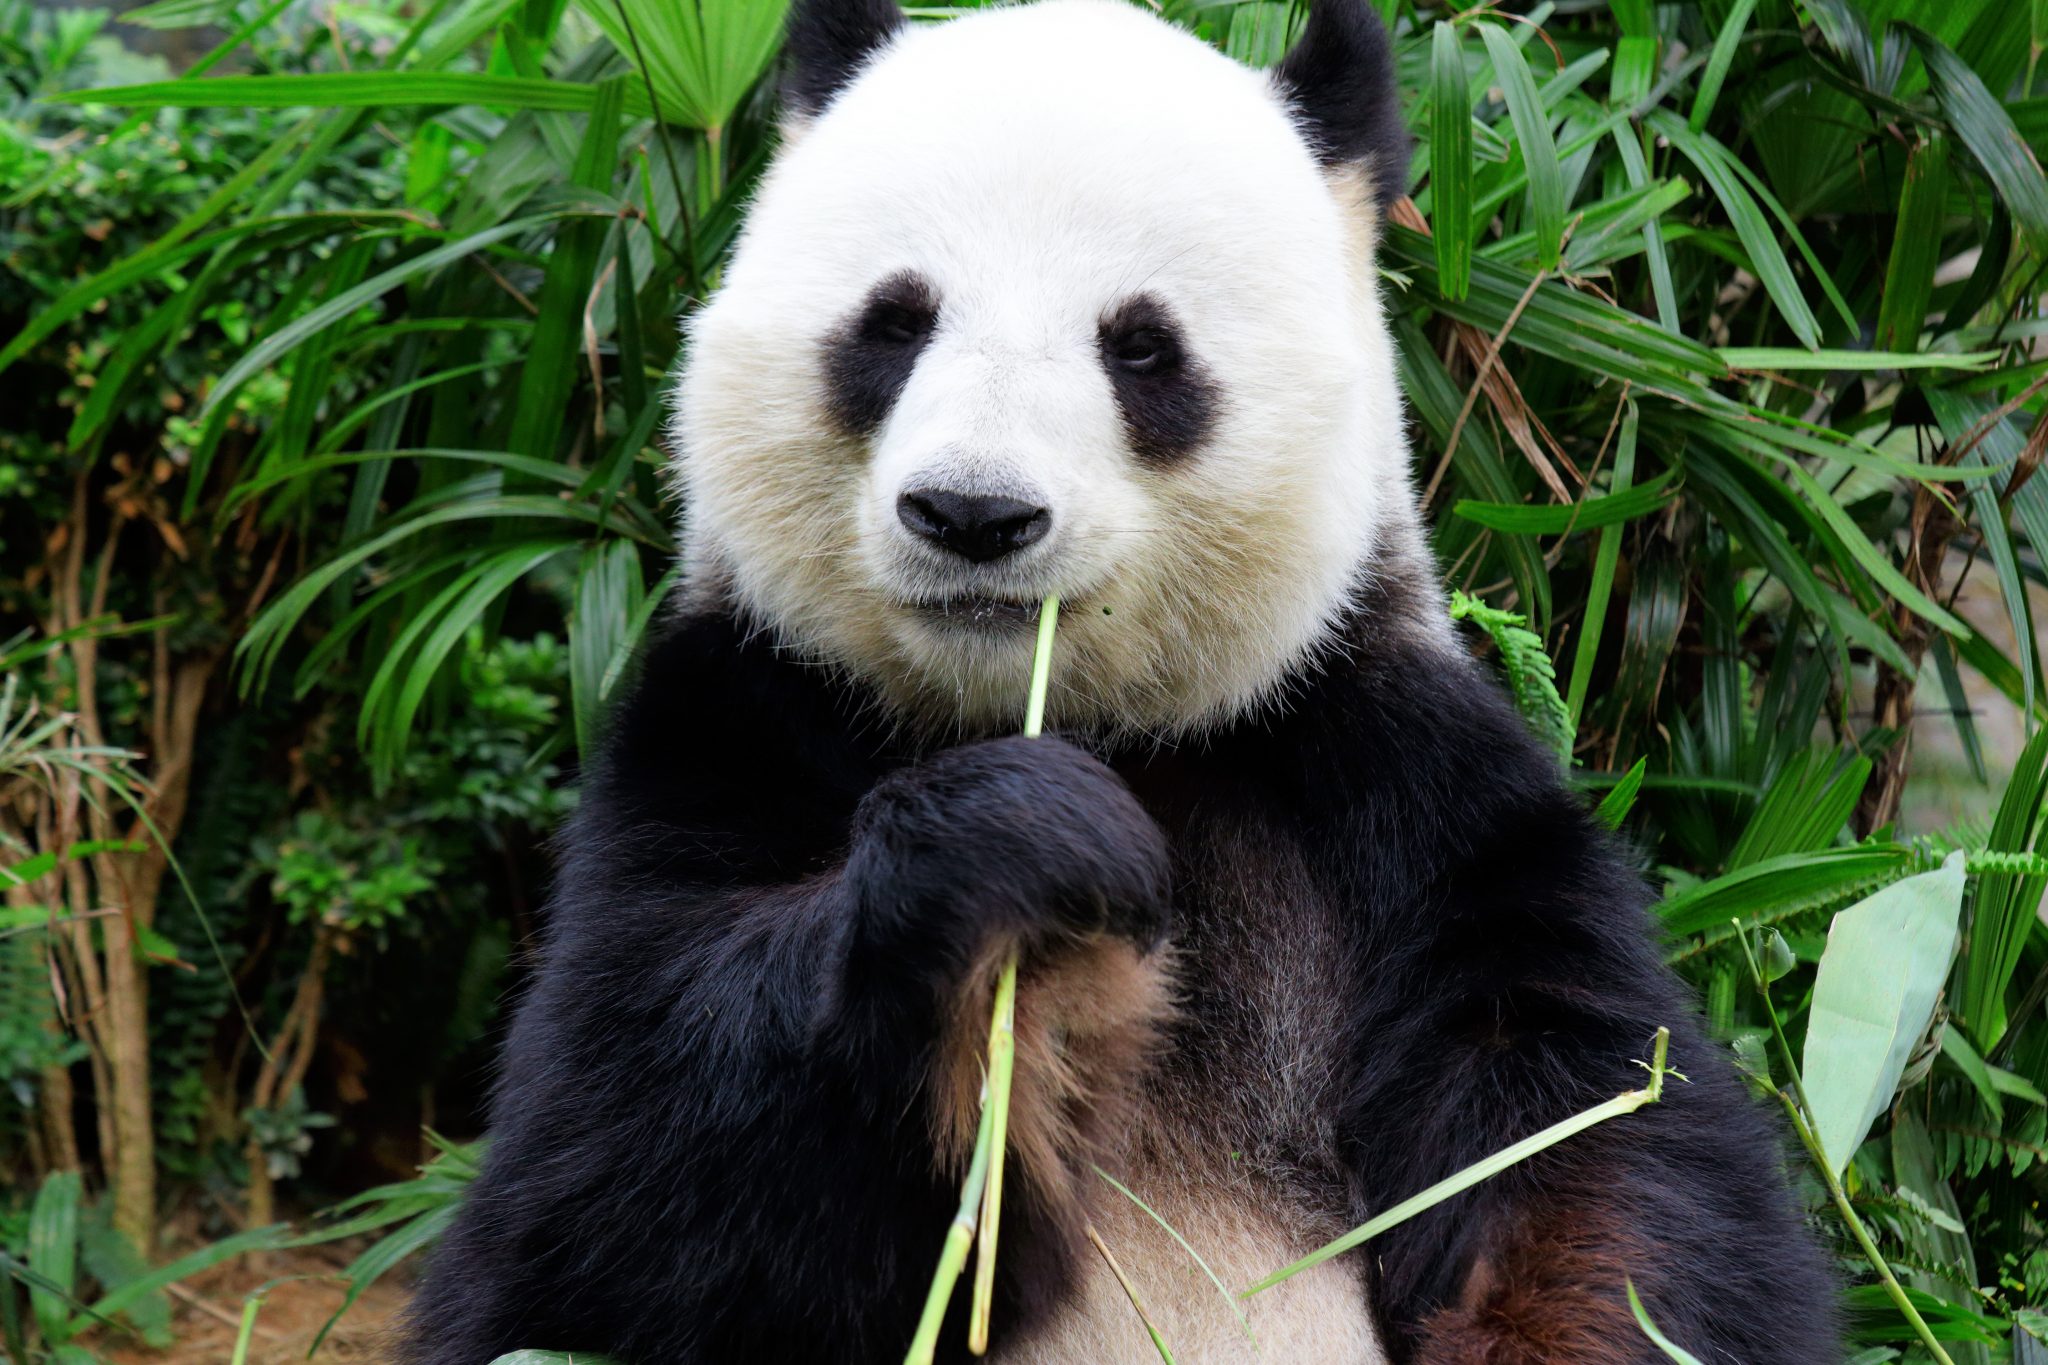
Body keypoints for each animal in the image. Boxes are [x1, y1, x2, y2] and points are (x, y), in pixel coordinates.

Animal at [401, 1, 1839, 1361]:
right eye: (894, 321)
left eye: (1141, 348)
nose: (972, 514)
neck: (1099, 724)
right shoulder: (734, 715)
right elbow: (601, 1191)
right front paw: (1022, 868)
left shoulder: (1388, 776)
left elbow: (1596, 1150)